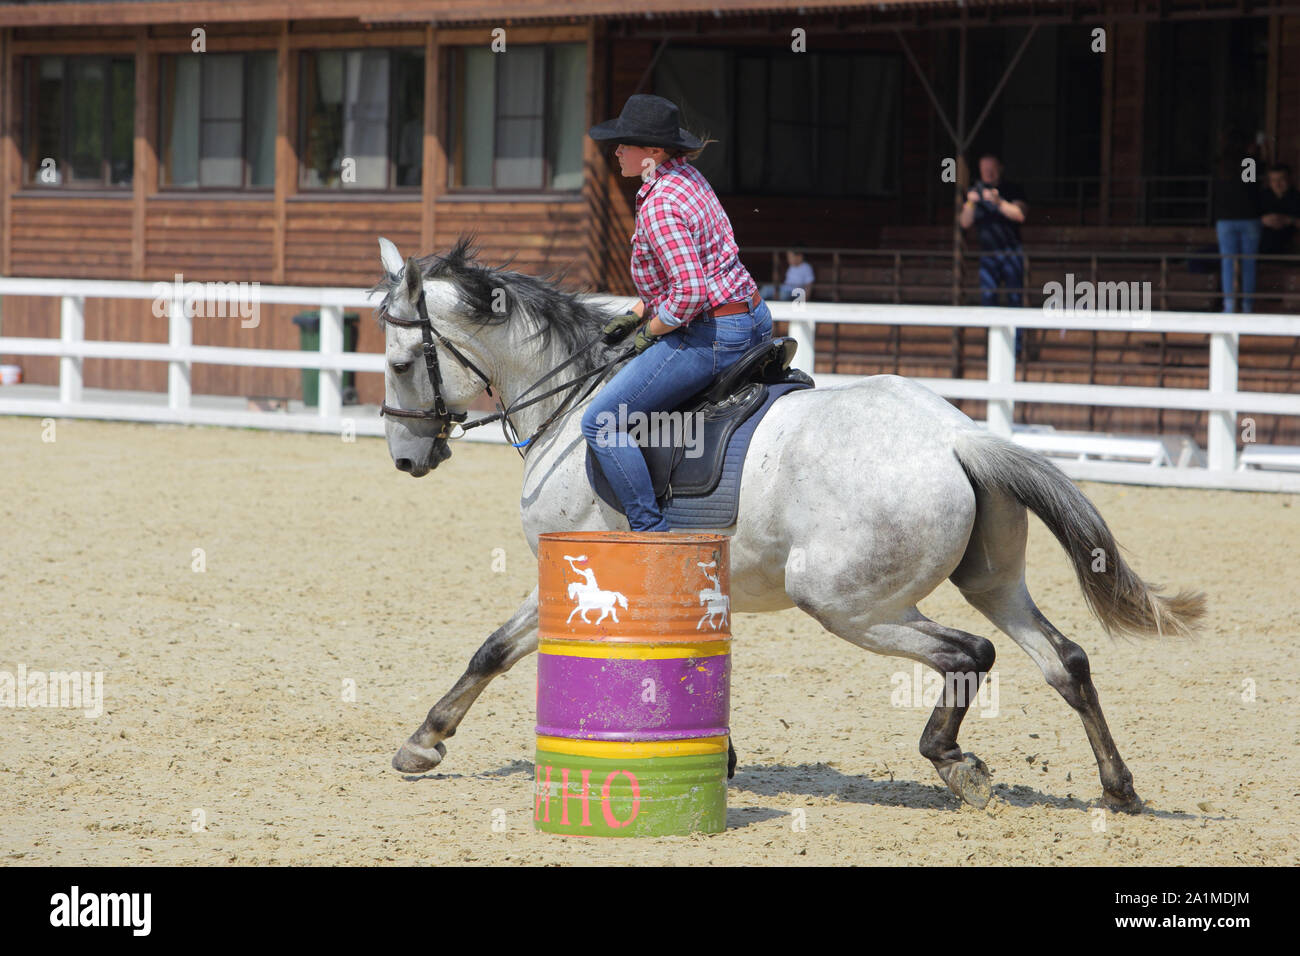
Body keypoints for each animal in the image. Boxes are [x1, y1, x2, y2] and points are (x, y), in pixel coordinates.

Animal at [372, 235, 1205, 812]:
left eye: (400, 363)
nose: (407, 456)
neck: (571, 402)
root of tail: (955, 437)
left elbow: (494, 651)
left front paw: (425, 740)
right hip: (993, 582)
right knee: (1065, 662)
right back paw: (1119, 787)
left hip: (846, 601)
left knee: (971, 654)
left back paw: (953, 760)